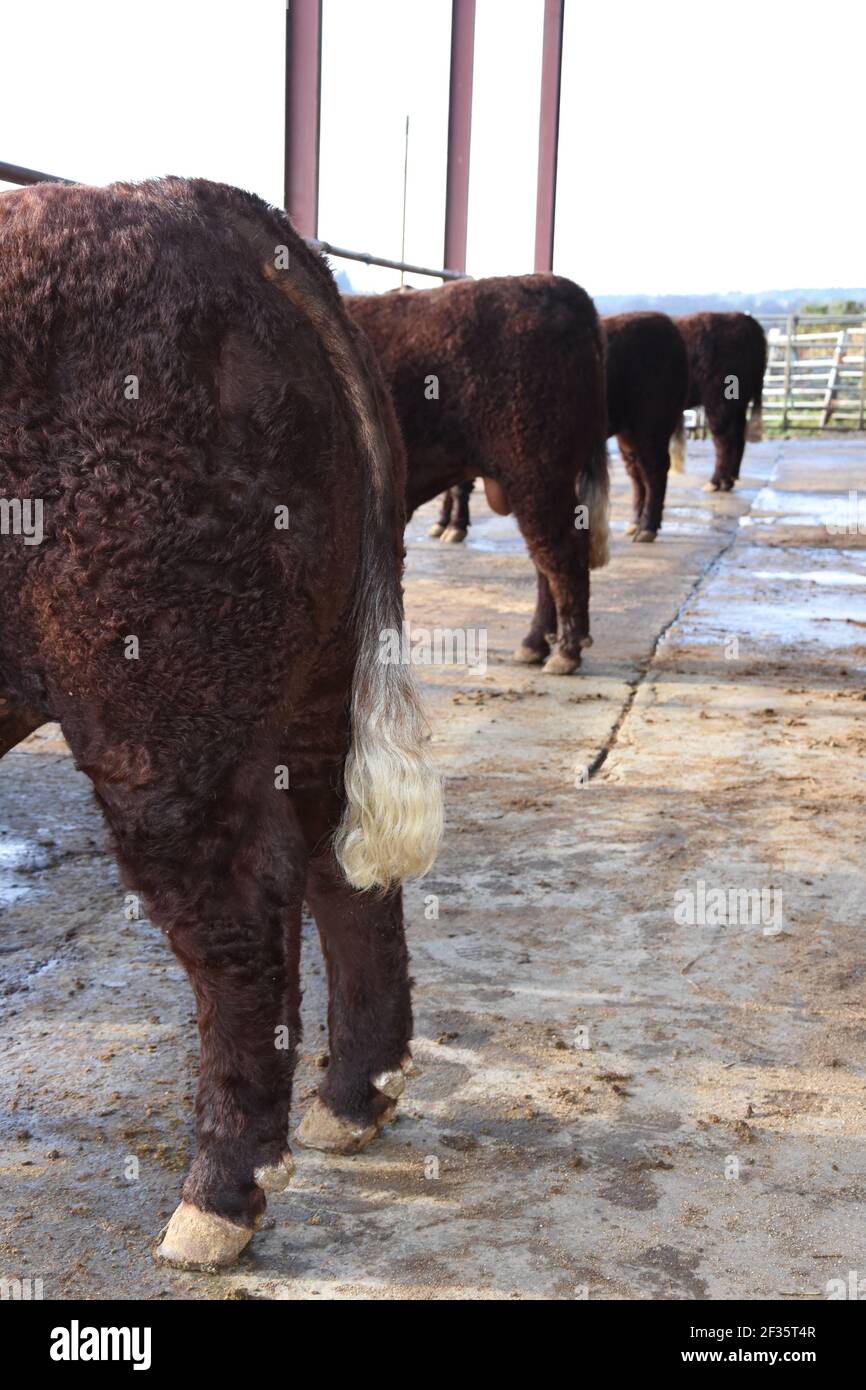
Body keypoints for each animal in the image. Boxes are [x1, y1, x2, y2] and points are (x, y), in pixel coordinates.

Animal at [0, 177, 442, 1270]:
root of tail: (199, 202)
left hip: (157, 688)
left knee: (241, 911)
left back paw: (218, 1198)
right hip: (316, 673)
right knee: (338, 859)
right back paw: (353, 1098)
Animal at [346, 276, 609, 674]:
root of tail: (559, 287)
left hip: (537, 476)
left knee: (561, 554)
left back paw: (565, 651)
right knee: (544, 562)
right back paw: (535, 644)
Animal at [432, 310, 688, 545]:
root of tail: (667, 324)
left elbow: (457, 488)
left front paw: (454, 527)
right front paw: (441, 523)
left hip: (652, 424)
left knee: (655, 470)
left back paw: (647, 528)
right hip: (629, 433)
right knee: (638, 473)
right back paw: (635, 524)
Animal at [675, 312, 767, 491]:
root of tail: (745, 320)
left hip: (719, 401)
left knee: (724, 439)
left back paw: (716, 482)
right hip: (738, 403)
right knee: (738, 435)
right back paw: (729, 479)